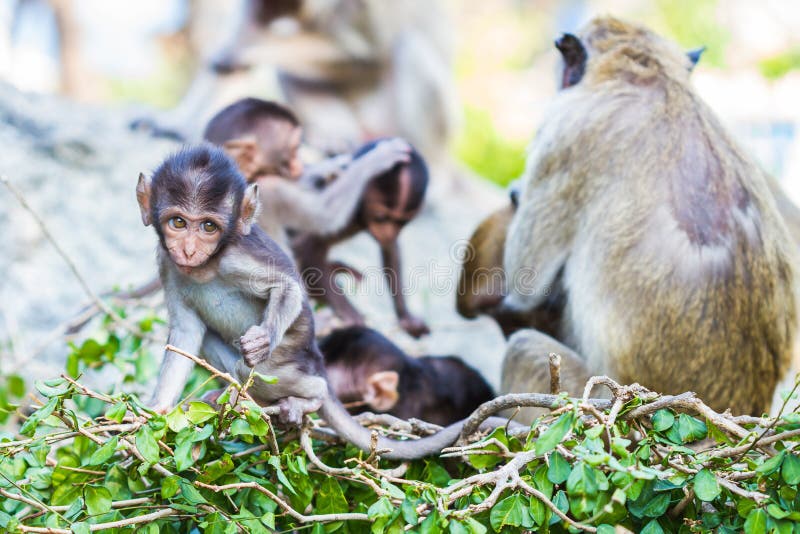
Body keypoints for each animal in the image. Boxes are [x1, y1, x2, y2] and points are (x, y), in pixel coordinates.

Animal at [202, 98, 413, 254]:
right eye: (295, 149)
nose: (299, 166)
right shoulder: (271, 189)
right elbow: (323, 216)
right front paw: (376, 159)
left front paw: (331, 165)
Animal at [292, 139, 431, 338]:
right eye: (381, 218)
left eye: (401, 222)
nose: (388, 232)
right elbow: (308, 250)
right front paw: (351, 315)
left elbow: (390, 247)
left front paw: (406, 316)